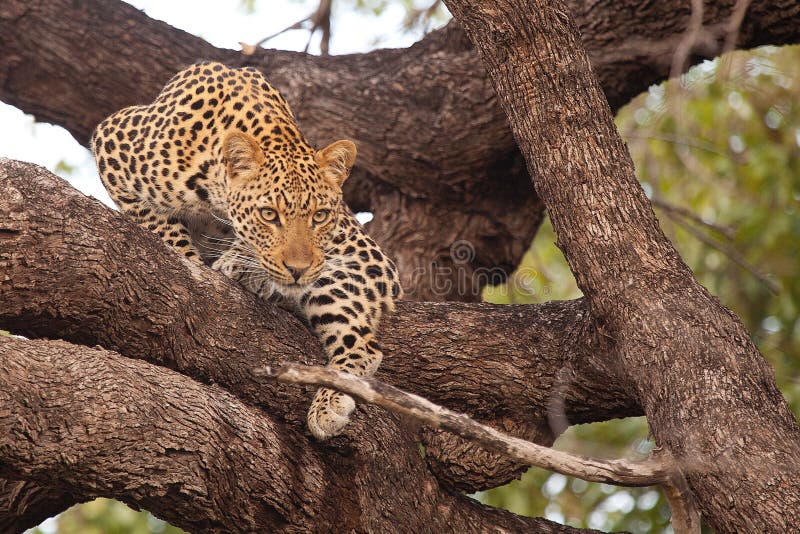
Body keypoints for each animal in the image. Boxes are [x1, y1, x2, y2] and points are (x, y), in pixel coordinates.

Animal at [91, 61, 402, 440]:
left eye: (320, 216)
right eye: (268, 214)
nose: (298, 269)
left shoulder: (367, 257)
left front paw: (244, 267)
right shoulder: (112, 142)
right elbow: (159, 224)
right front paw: (194, 259)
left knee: (366, 347)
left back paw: (329, 402)